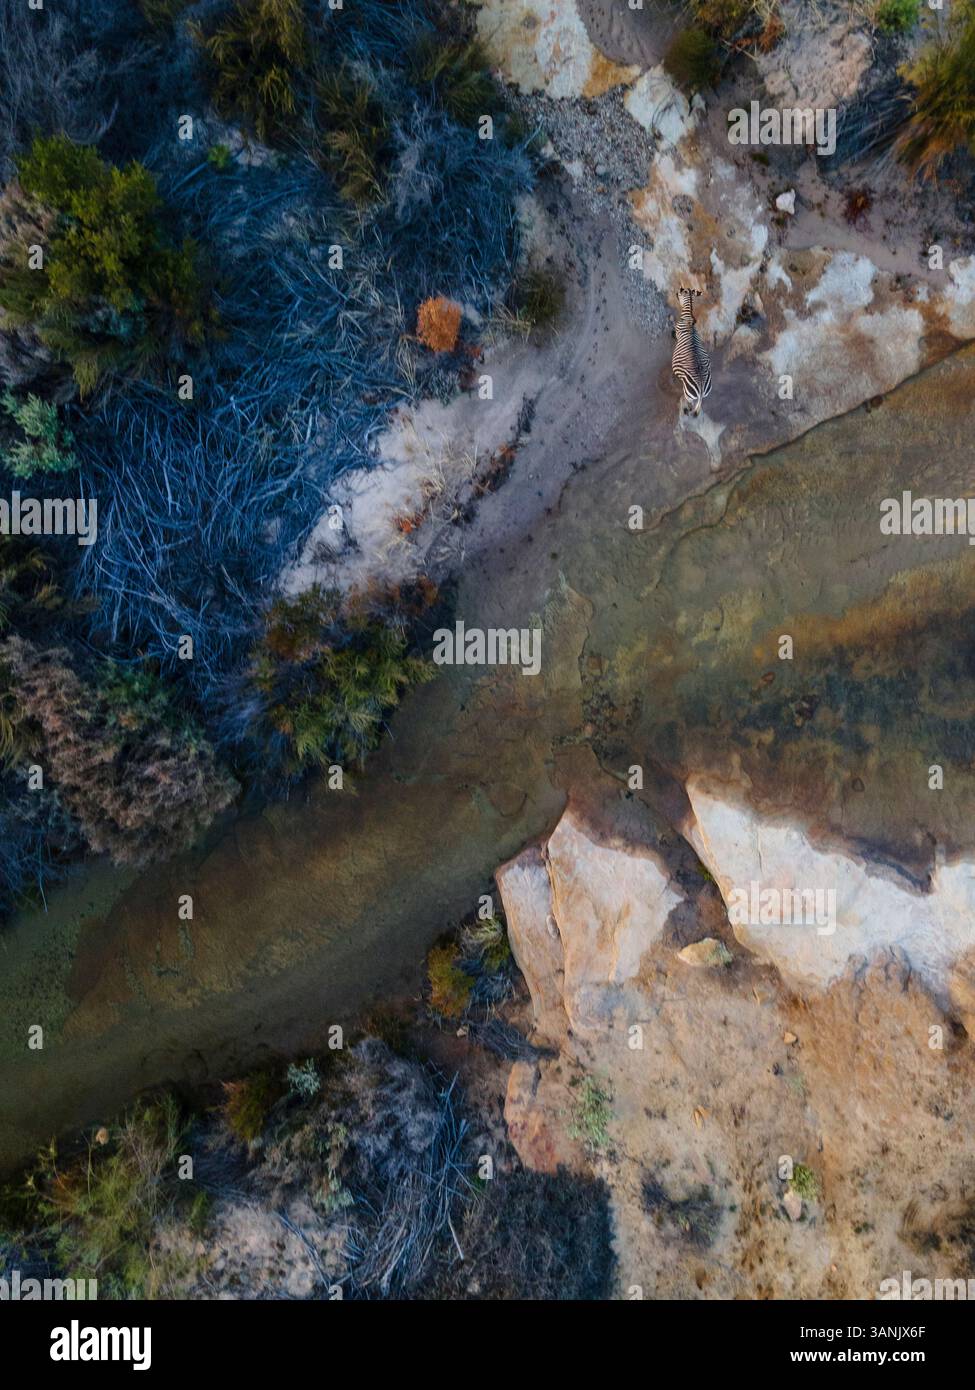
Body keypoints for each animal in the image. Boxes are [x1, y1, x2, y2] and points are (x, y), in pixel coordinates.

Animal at [671, 286, 712, 416]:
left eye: (679, 293)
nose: (675, 293)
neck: (688, 318)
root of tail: (701, 389)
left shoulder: (677, 331)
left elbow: (673, 330)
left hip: (688, 393)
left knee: (688, 401)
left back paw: (684, 407)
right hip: (705, 393)